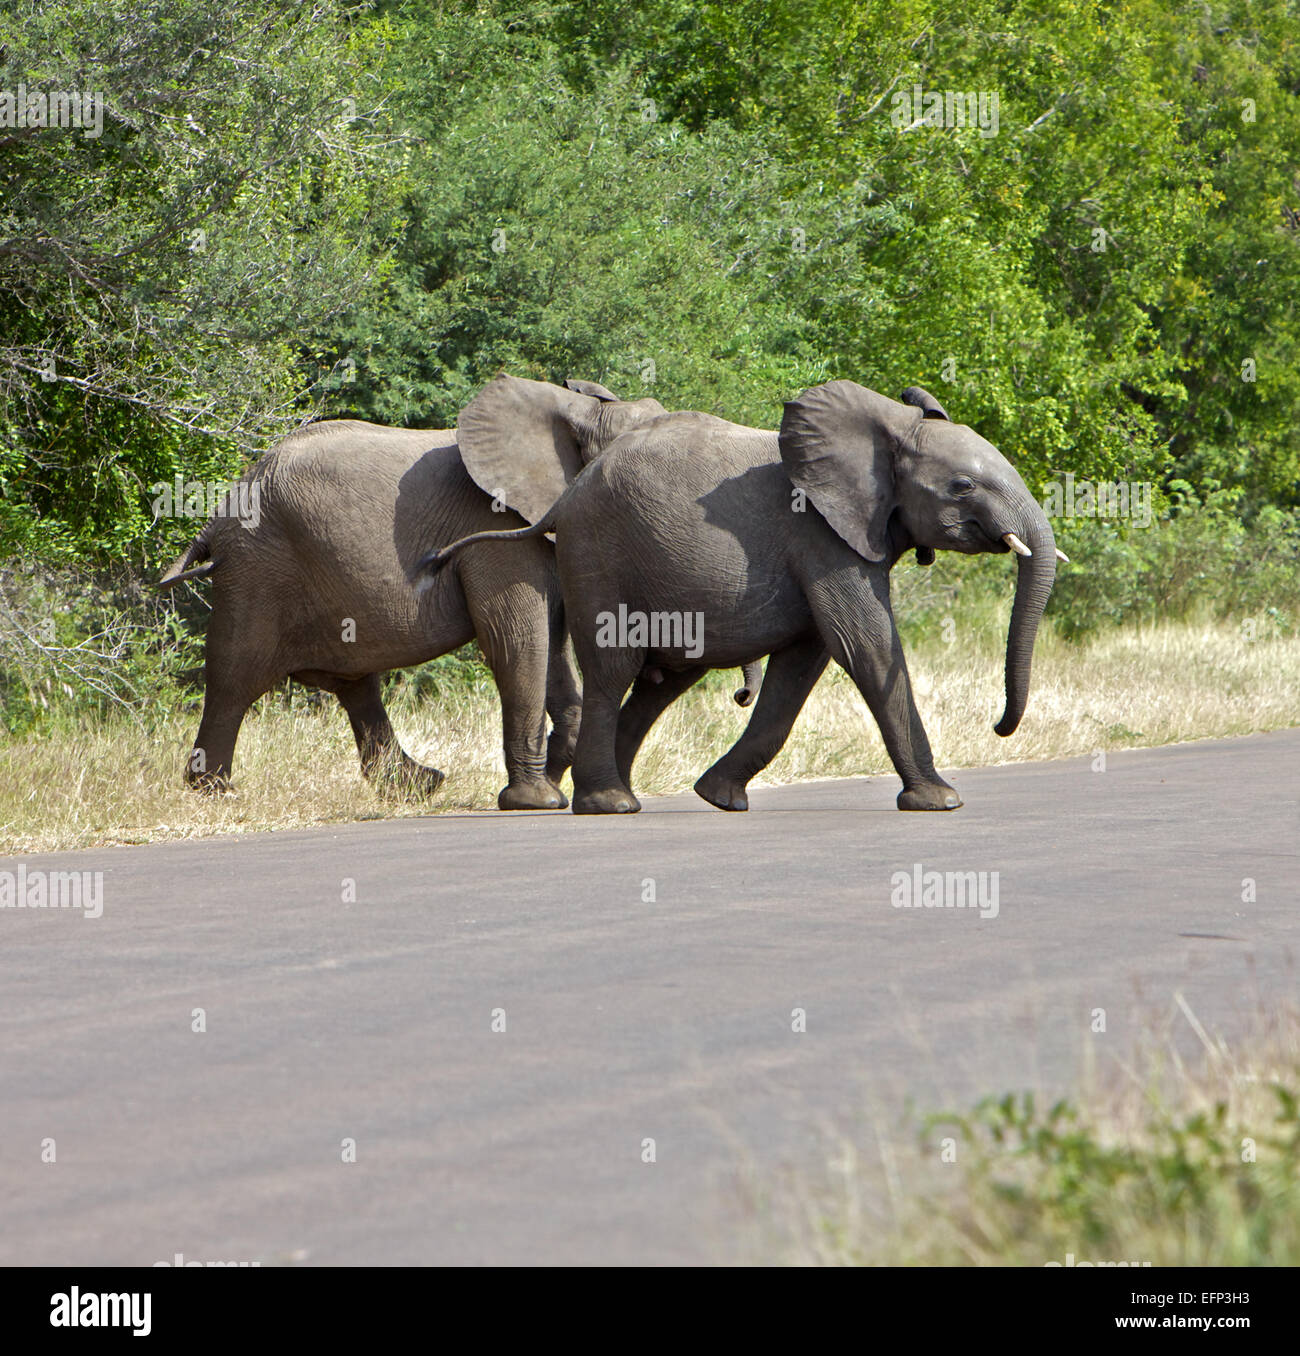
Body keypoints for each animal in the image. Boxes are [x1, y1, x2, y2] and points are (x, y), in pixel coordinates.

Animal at [423, 380, 1065, 814]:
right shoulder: (821, 536)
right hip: (598, 555)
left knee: (660, 681)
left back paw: (614, 794)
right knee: (613, 670)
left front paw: (719, 797)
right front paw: (941, 800)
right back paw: (609, 804)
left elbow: (803, 667)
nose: (999, 726)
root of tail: (566, 496)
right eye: (963, 486)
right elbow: (864, 644)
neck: (888, 427)